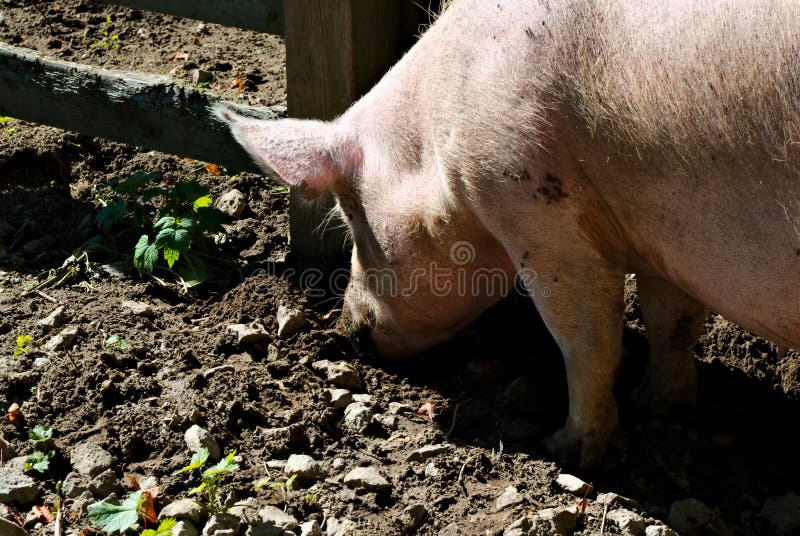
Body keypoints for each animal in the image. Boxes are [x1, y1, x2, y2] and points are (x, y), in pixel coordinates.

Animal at [217, 0, 800, 467]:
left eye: (354, 216)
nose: (348, 331)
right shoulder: (658, 232)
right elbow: (672, 321)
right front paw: (657, 406)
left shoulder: (533, 209)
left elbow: (588, 342)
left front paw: (566, 449)